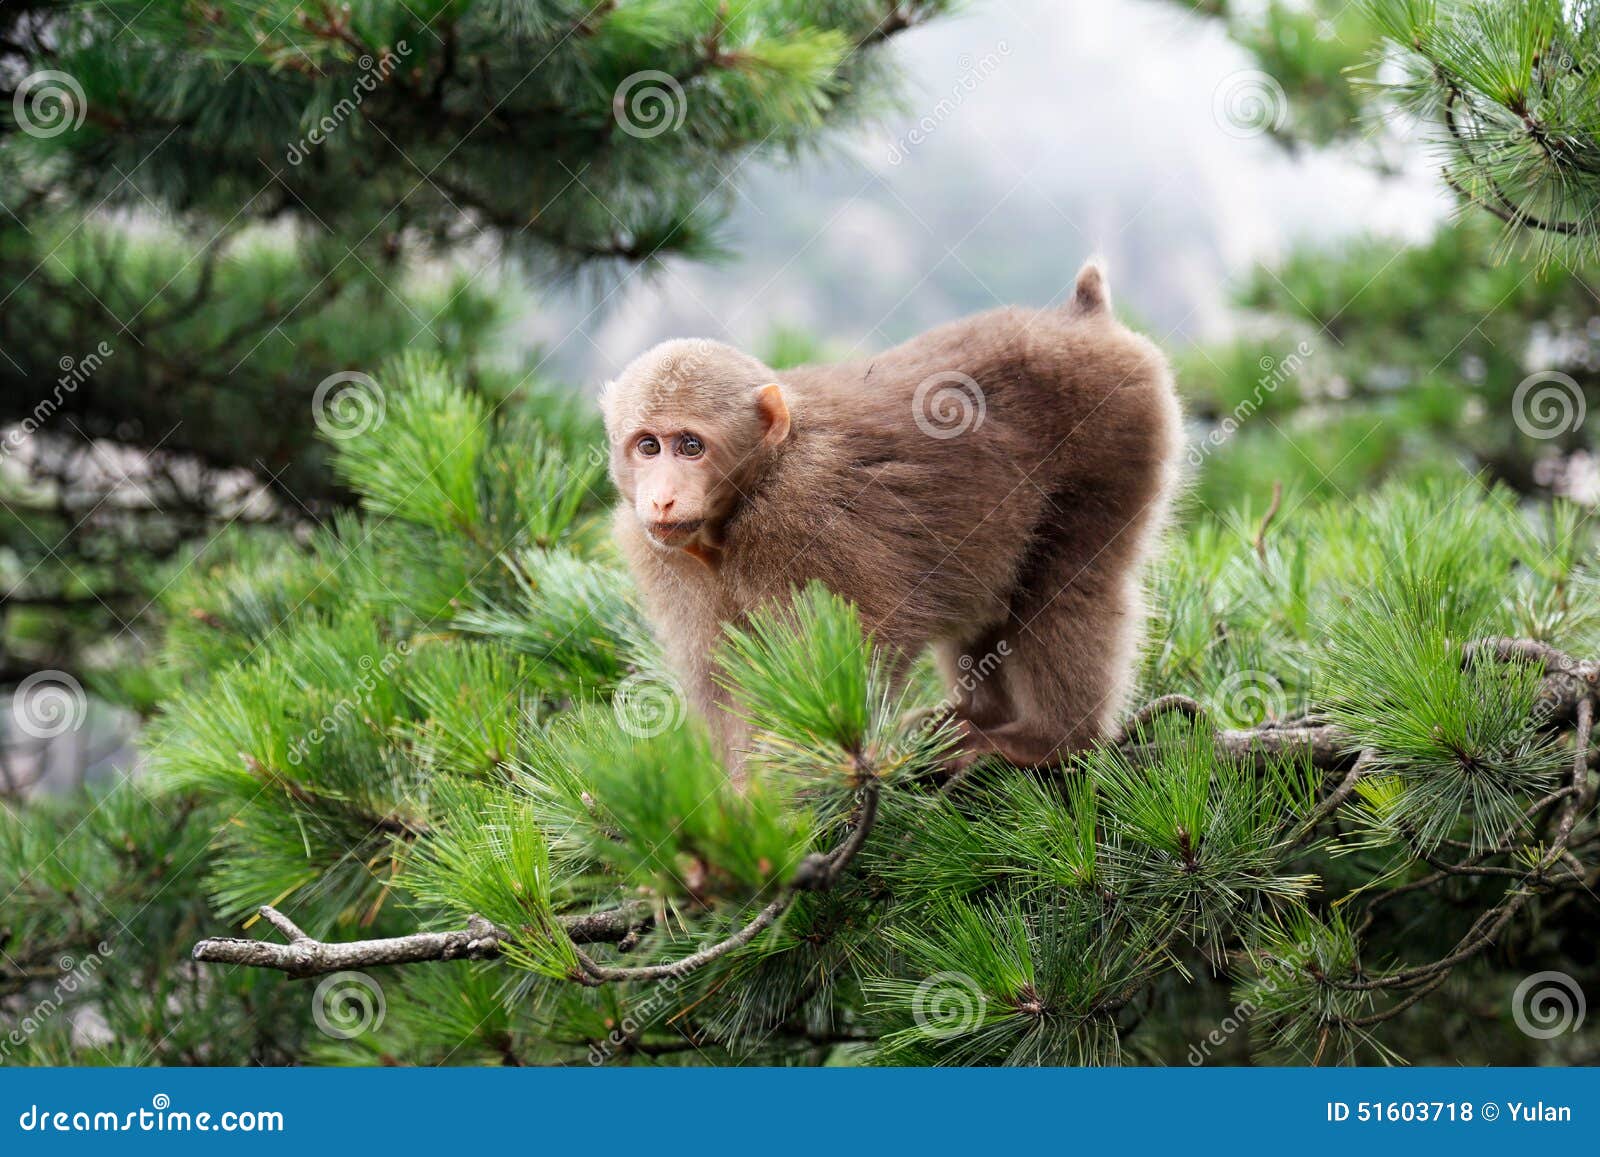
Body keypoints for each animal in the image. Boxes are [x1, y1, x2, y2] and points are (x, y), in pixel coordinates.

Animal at [600, 260, 1183, 775]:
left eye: (690, 446)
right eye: (648, 446)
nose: (662, 499)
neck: (754, 487)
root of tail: (1081, 317)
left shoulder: (803, 521)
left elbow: (855, 653)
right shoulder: (662, 553)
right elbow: (726, 675)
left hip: (1114, 437)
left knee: (1067, 585)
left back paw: (1052, 741)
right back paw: (976, 719)